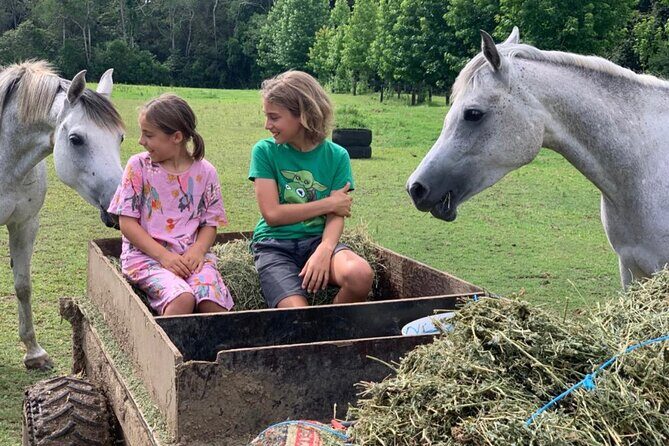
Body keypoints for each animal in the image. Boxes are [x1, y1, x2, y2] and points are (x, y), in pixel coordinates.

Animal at [0, 61, 124, 370]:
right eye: (76, 139)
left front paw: (34, 352)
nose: (119, 207)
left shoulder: (25, 225)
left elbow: (23, 286)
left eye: (120, 137)